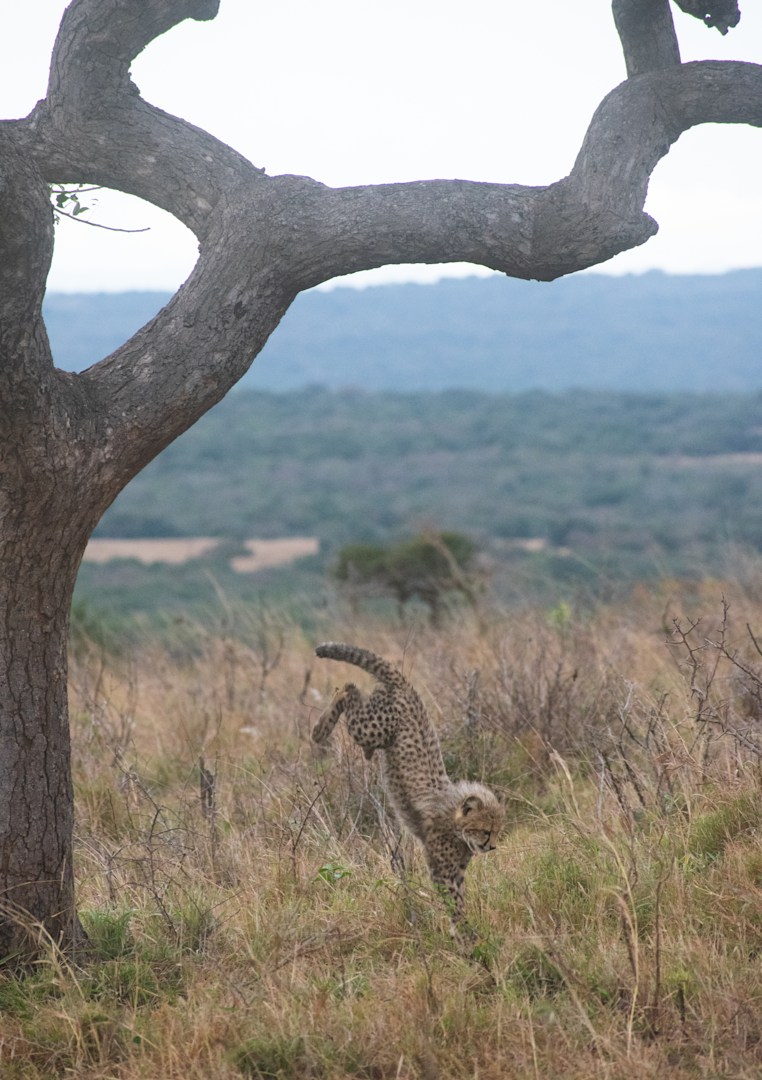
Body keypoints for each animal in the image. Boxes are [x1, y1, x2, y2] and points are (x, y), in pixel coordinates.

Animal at [312, 641, 504, 937]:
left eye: (497, 831)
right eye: (485, 830)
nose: (491, 847)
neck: (456, 823)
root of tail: (407, 686)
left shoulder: (457, 872)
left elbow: (460, 901)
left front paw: (465, 932)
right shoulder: (443, 872)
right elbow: (455, 905)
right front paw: (465, 937)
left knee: (352, 691)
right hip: (374, 727)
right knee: (349, 689)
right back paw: (319, 730)